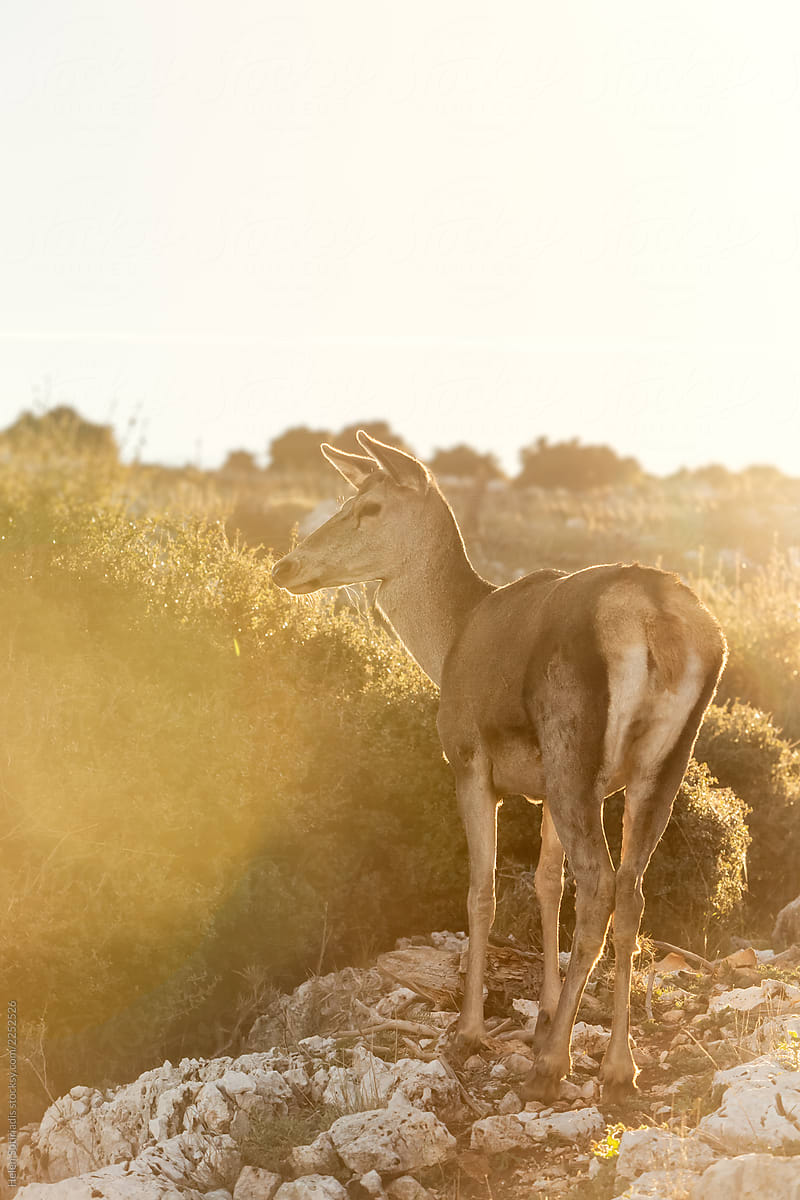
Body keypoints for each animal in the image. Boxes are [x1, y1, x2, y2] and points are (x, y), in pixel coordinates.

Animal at [271, 431, 727, 1103]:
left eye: (370, 506)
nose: (285, 566)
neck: (449, 638)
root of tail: (659, 623)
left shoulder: (468, 759)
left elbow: (481, 891)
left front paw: (469, 1031)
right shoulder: (544, 787)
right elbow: (543, 883)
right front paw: (542, 1018)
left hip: (572, 748)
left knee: (599, 886)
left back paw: (553, 1066)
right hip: (660, 764)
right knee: (630, 891)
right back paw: (618, 1066)